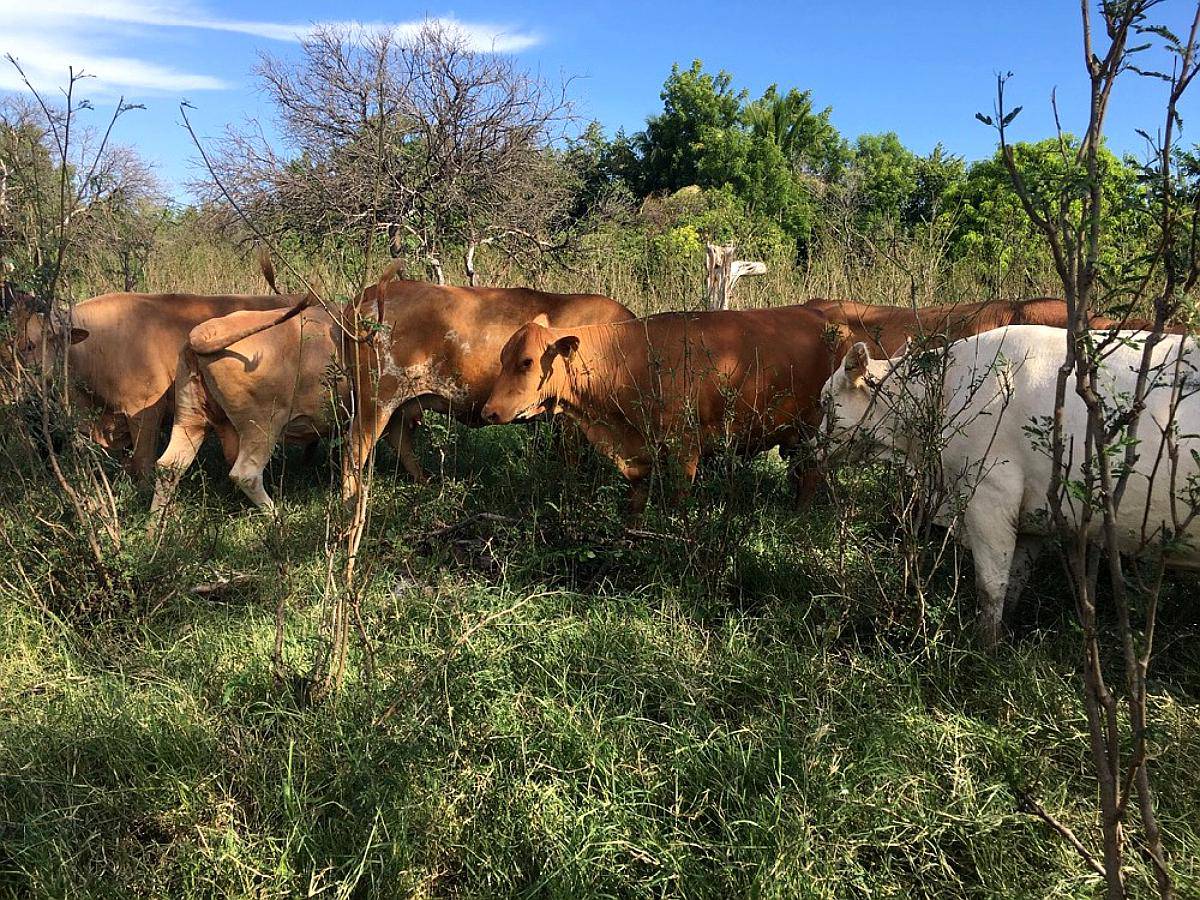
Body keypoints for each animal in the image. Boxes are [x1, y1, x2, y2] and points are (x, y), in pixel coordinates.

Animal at [479, 305, 836, 520]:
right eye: (502, 357)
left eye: (526, 361)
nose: (488, 411)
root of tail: (819, 316)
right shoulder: (638, 453)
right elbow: (636, 502)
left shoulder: (684, 448)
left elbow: (677, 504)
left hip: (815, 429)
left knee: (811, 475)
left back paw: (798, 519)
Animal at [820, 324, 1200, 647]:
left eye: (825, 402)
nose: (811, 444)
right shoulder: (1032, 515)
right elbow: (1015, 577)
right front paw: (1001, 640)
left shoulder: (989, 492)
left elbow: (991, 583)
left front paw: (984, 646)